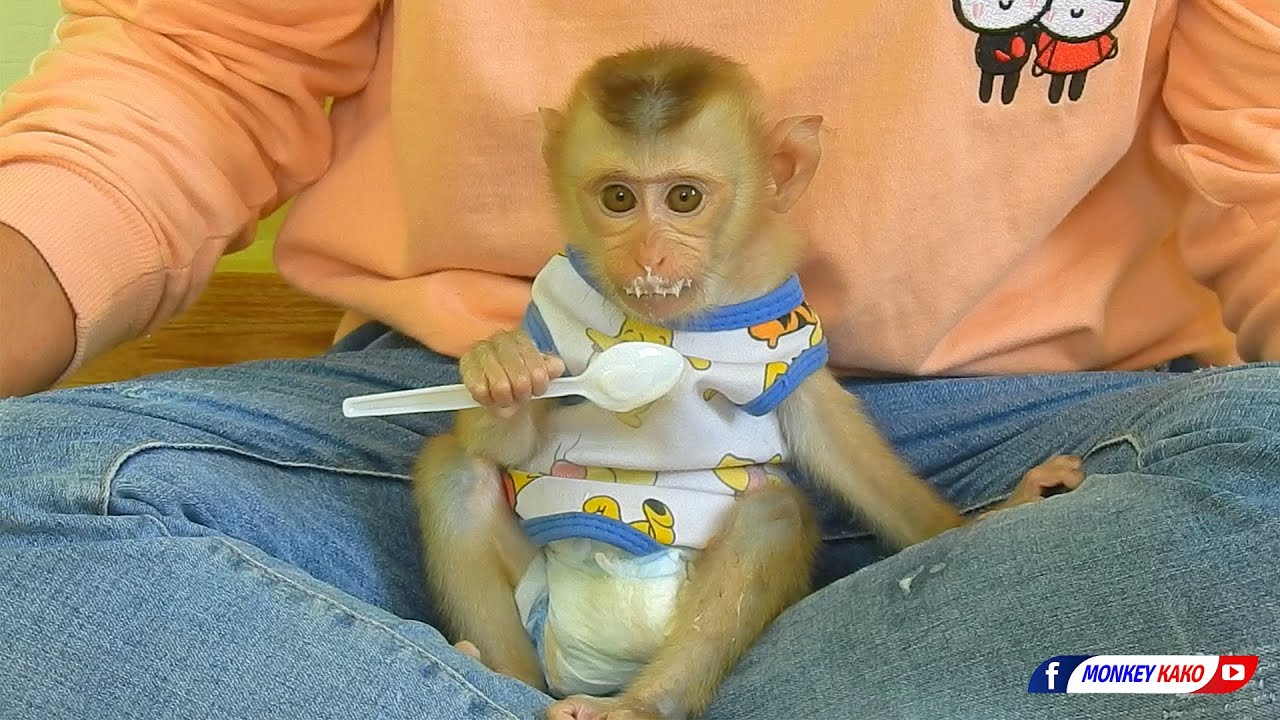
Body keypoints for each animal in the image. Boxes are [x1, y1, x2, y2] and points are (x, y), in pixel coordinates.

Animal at [411, 42, 1085, 720]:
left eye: (684, 198)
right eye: (619, 199)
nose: (648, 256)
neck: (679, 326)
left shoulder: (789, 345)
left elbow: (841, 452)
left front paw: (991, 515)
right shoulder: (551, 325)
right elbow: (513, 440)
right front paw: (503, 368)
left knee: (773, 515)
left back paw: (643, 703)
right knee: (456, 471)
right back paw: (494, 666)